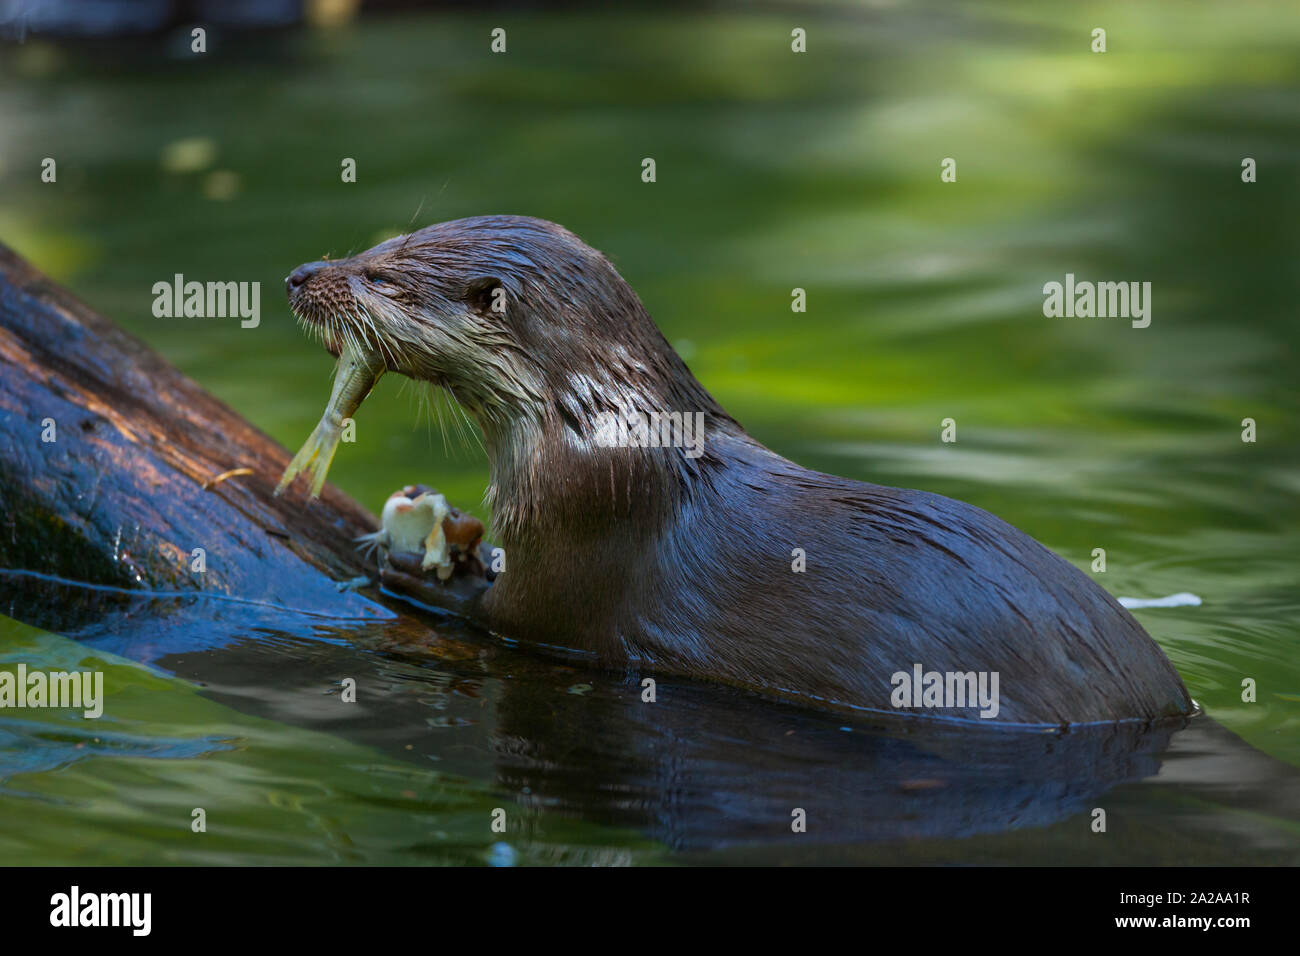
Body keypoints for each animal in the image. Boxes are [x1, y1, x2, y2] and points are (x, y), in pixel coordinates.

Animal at [284, 215, 1193, 725]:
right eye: (378, 243)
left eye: (378, 276)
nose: (298, 275)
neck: (599, 427)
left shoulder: (583, 528)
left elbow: (509, 614)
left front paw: (401, 559)